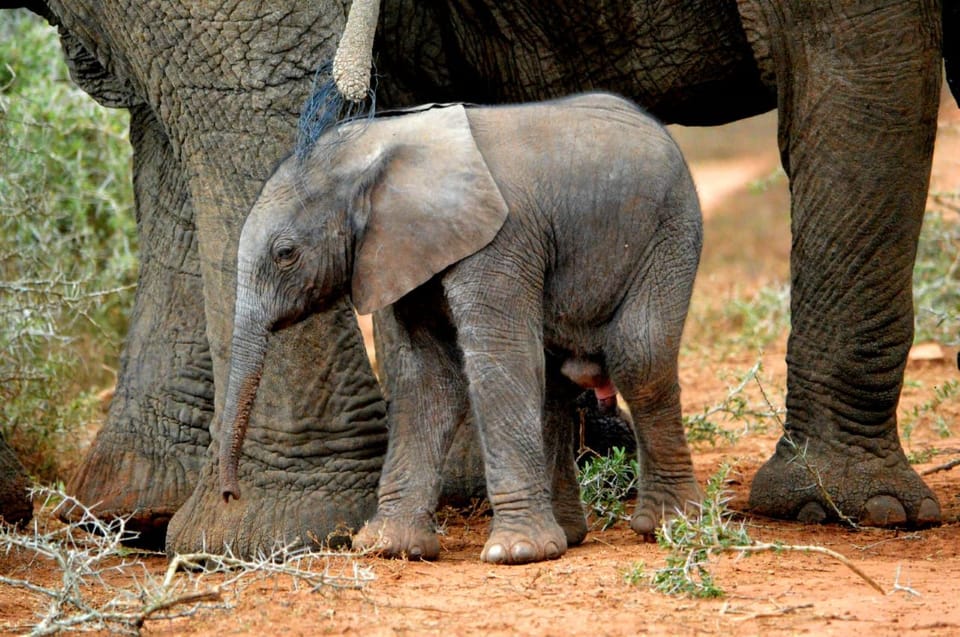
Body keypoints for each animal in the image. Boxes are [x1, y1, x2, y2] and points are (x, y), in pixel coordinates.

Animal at [218, 92, 702, 563]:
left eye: (285, 254)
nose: (230, 495)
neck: (383, 143)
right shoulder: (407, 249)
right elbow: (429, 377)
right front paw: (387, 547)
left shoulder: (501, 239)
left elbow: (498, 360)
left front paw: (516, 554)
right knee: (554, 384)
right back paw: (568, 536)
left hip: (670, 233)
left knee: (639, 358)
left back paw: (665, 526)